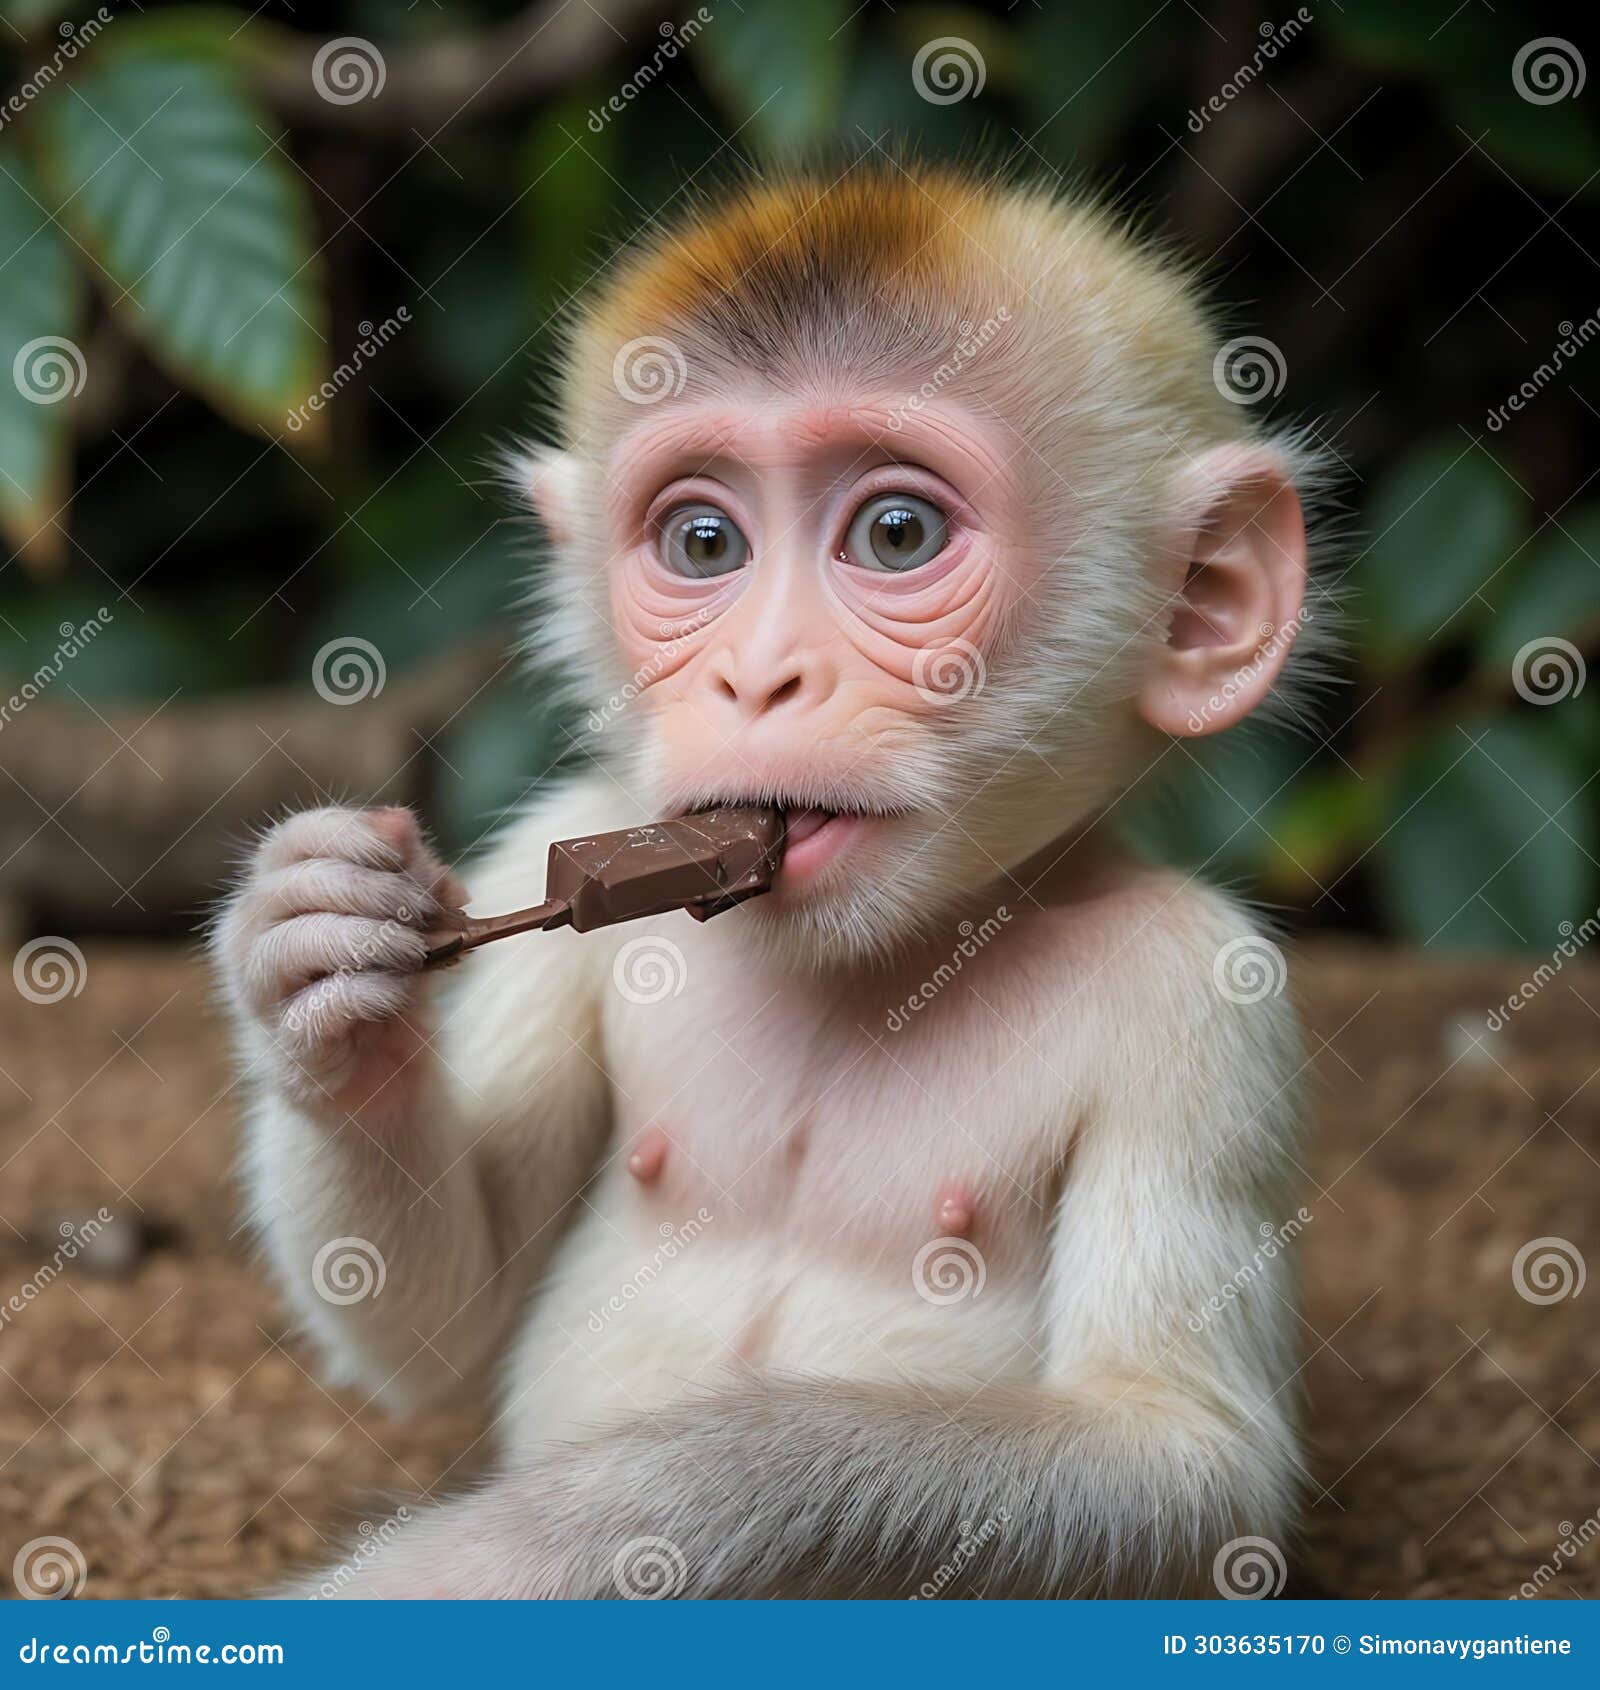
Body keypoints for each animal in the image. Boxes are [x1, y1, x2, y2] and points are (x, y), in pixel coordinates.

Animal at [213, 158, 1326, 1599]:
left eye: (897, 532)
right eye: (702, 544)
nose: (756, 677)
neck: (875, 952)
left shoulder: (1206, 992)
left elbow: (1184, 1461)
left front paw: (574, 1531)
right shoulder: (573, 827)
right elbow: (442, 1314)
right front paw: (316, 958)